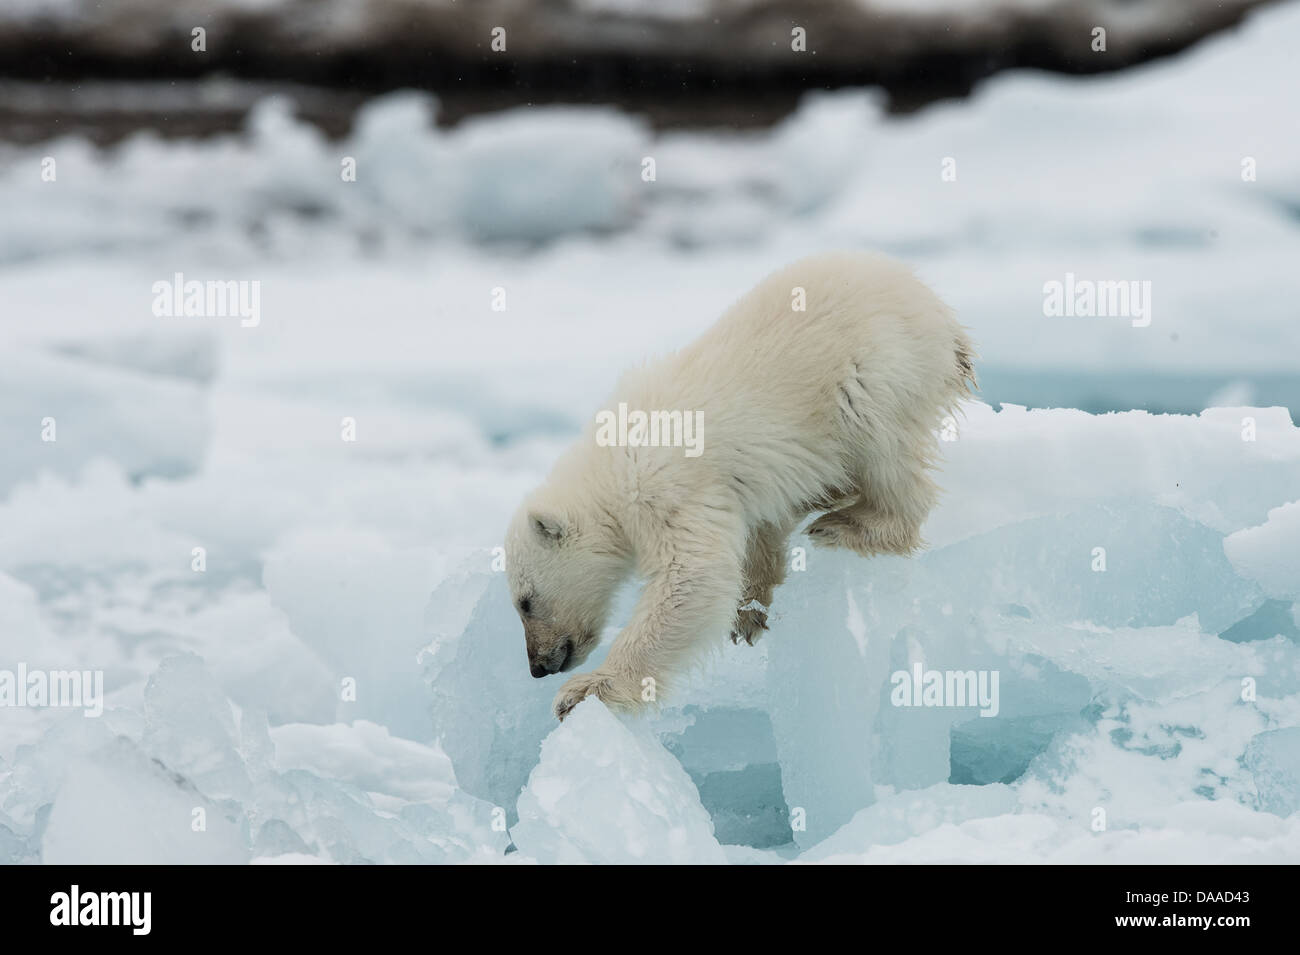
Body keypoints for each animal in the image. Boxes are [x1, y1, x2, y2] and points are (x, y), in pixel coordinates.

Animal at [504, 251, 976, 720]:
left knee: (885, 450)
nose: (537, 666)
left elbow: (693, 577)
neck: (609, 464)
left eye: (524, 601)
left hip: (876, 370)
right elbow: (756, 533)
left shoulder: (665, 488)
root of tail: (943, 316)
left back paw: (849, 524)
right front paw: (747, 614)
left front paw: (583, 692)